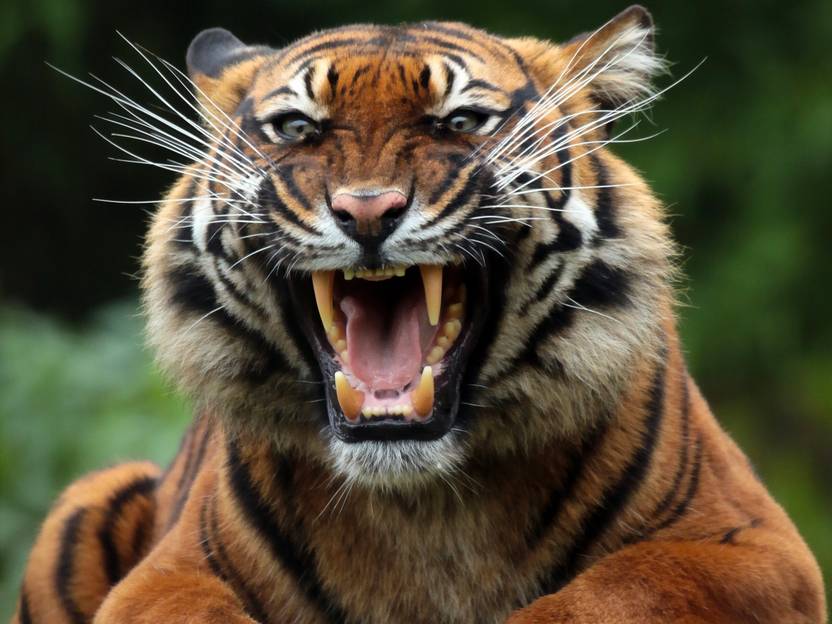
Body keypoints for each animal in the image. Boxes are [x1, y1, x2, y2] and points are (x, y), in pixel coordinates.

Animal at [13, 5, 825, 623]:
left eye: (460, 121)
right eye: (296, 128)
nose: (367, 211)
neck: (422, 506)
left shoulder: (751, 545)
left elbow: (613, 593)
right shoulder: (171, 570)